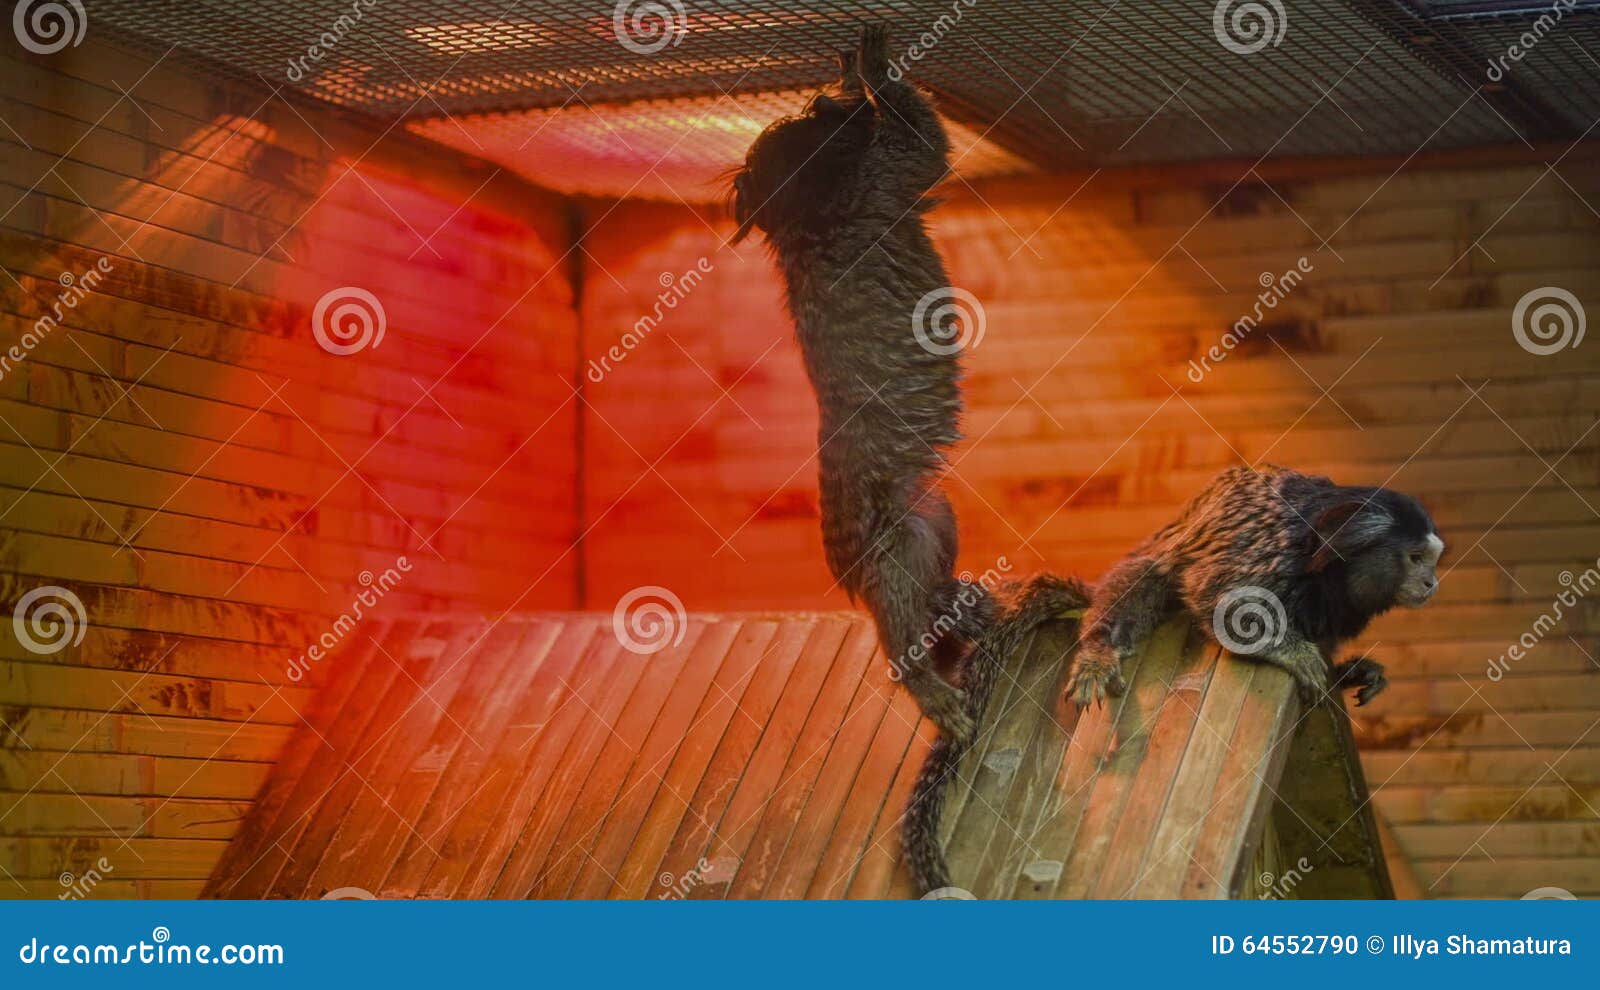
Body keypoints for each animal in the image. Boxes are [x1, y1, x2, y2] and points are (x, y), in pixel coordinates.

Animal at [729, 25, 990, 741]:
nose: (825, 101)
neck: (802, 217)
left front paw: (856, 75)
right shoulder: (881, 179)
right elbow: (923, 144)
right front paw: (873, 70)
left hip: (925, 512)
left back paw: (951, 606)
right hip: (887, 538)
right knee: (898, 618)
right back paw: (926, 681)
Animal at [1066, 464, 1444, 710]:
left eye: (1431, 561)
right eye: (1415, 559)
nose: (1431, 582)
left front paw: (1350, 671)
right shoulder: (1271, 553)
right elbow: (1216, 597)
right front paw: (1293, 651)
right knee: (1147, 574)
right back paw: (1099, 650)